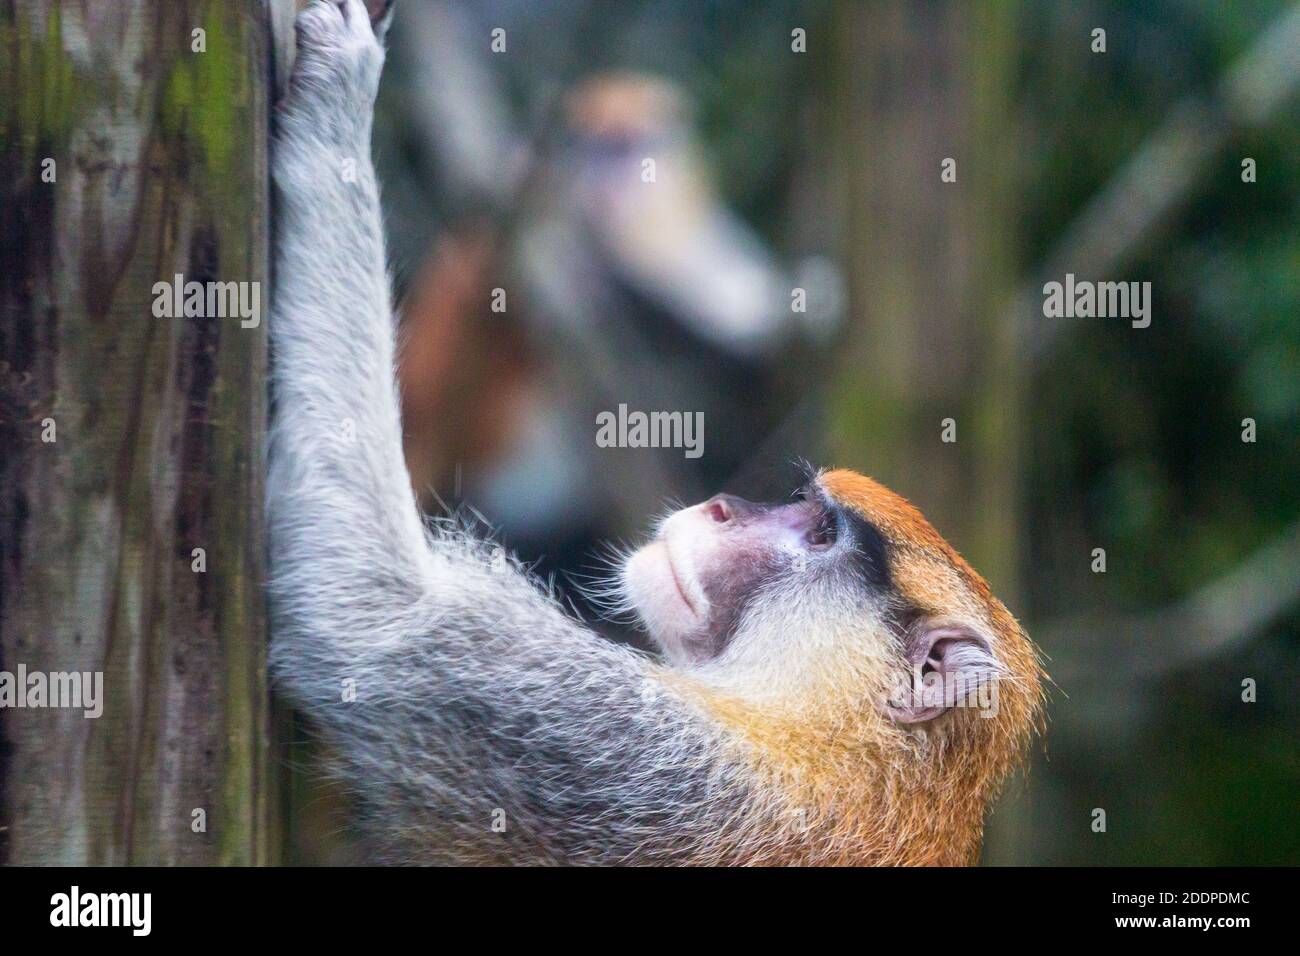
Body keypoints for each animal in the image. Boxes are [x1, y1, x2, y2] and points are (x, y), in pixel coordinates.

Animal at [268, 0, 1045, 866]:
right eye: (799, 501)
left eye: (821, 535)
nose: (723, 507)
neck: (858, 747)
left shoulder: (658, 763)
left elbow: (379, 618)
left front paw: (341, 96)